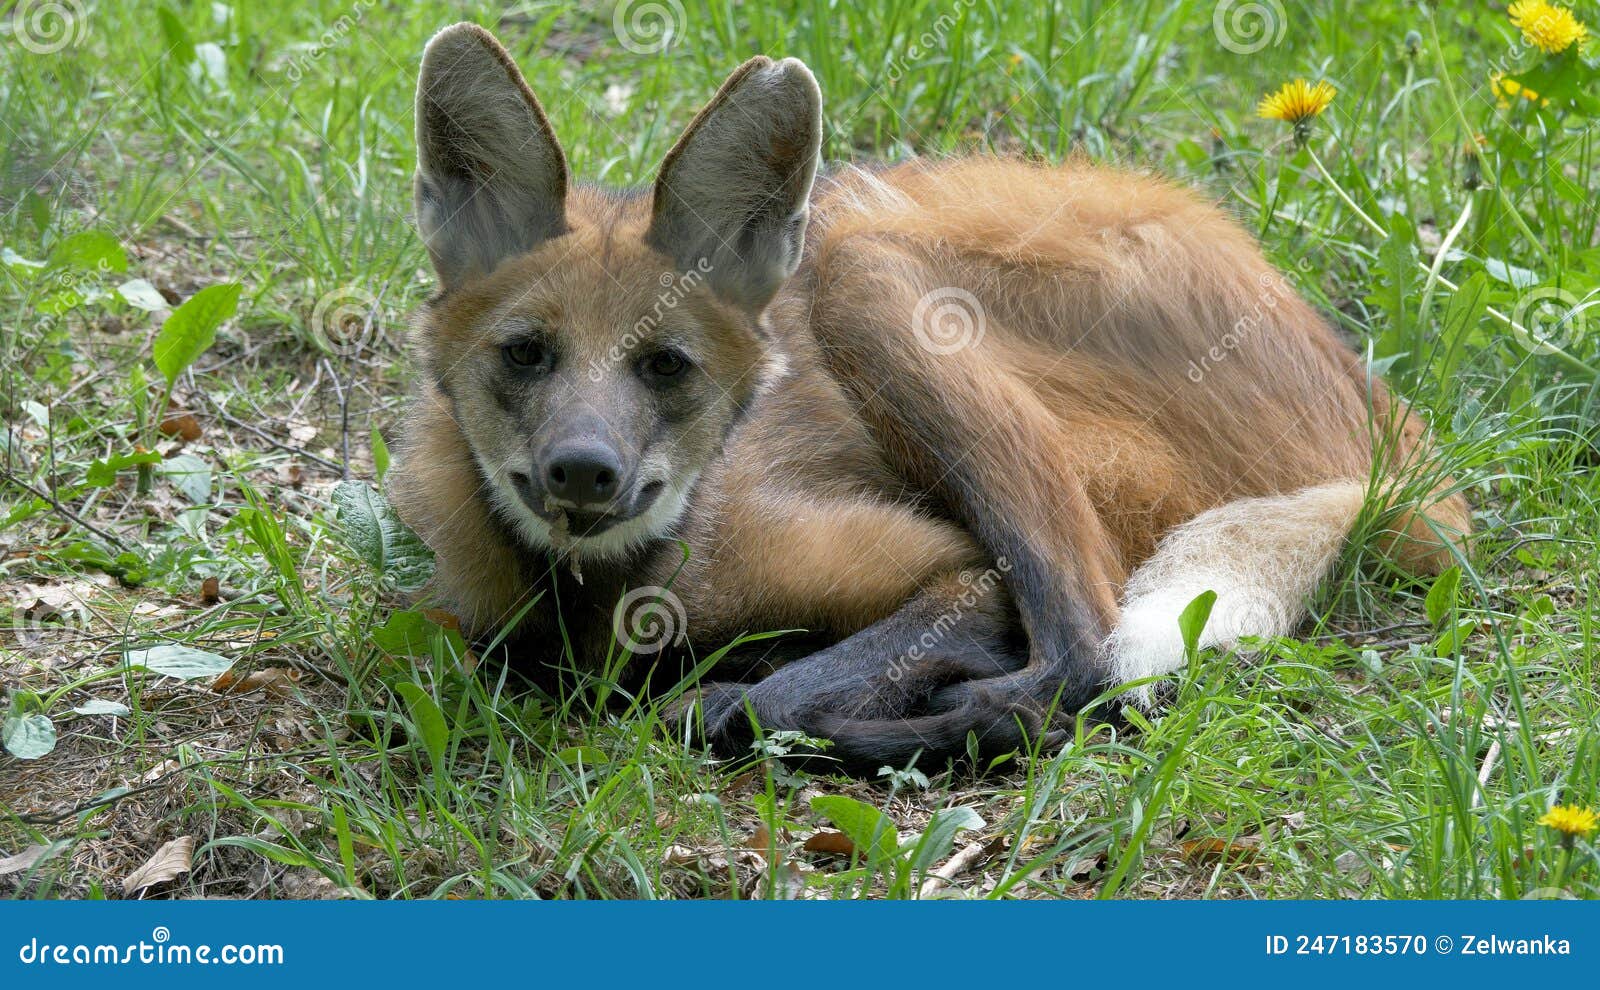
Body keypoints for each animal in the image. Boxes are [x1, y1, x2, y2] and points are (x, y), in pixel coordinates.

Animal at [391, 24, 1470, 773]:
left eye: (665, 365)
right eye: (527, 355)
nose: (584, 471)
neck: (597, 596)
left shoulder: (951, 570)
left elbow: (780, 692)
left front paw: (751, 698)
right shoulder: (470, 611)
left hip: (866, 275)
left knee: (1079, 659)